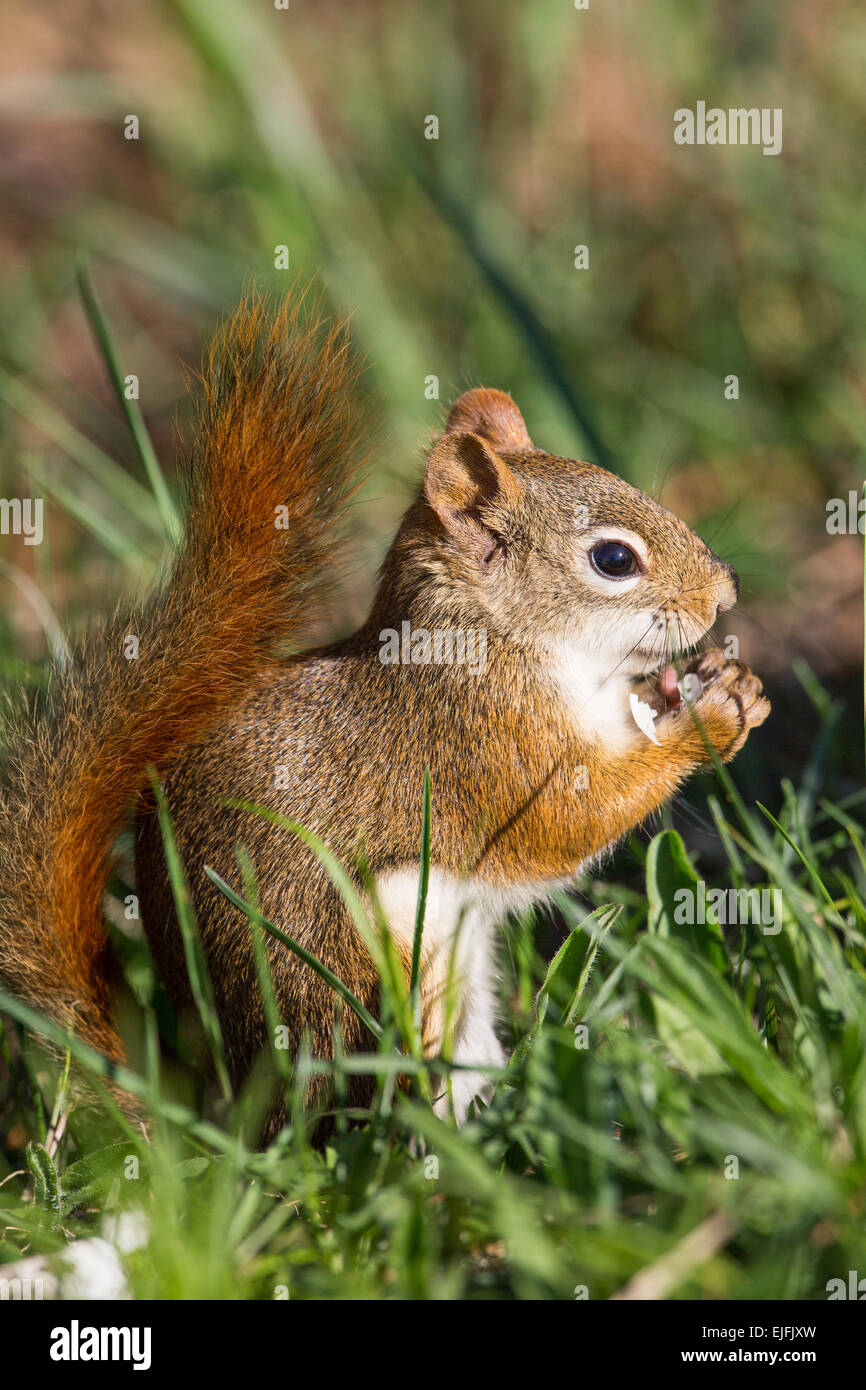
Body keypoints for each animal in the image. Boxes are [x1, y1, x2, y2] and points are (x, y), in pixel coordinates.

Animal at [0, 291, 770, 1131]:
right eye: (614, 559)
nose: (724, 595)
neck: (518, 647)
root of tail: (233, 1112)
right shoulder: (480, 745)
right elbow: (567, 823)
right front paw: (712, 720)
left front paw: (713, 684)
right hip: (383, 957)